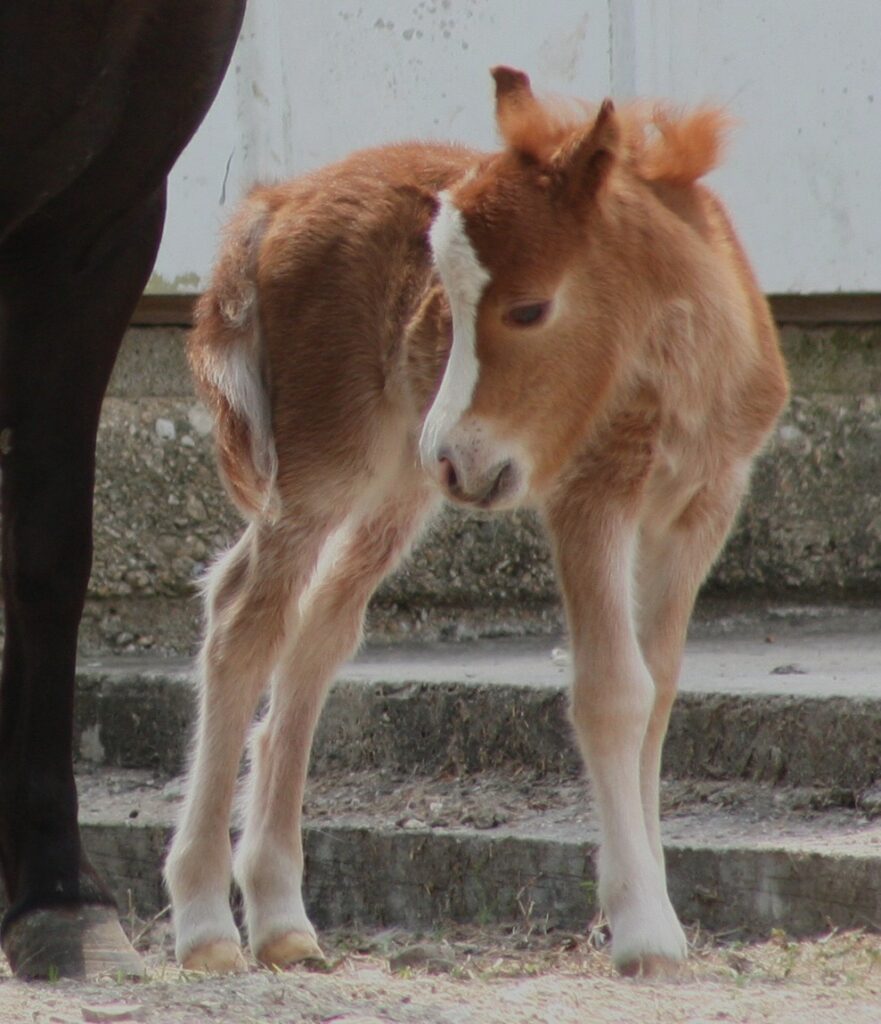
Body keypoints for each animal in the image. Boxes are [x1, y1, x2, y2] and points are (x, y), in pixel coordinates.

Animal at [165, 66, 789, 977]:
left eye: (528, 309)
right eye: (448, 305)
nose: (451, 455)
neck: (676, 364)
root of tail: (274, 202)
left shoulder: (700, 510)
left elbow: (659, 690)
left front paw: (652, 909)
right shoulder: (588, 499)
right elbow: (612, 692)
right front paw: (640, 928)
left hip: (396, 488)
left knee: (318, 628)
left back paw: (281, 918)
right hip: (327, 460)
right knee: (246, 613)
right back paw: (207, 922)